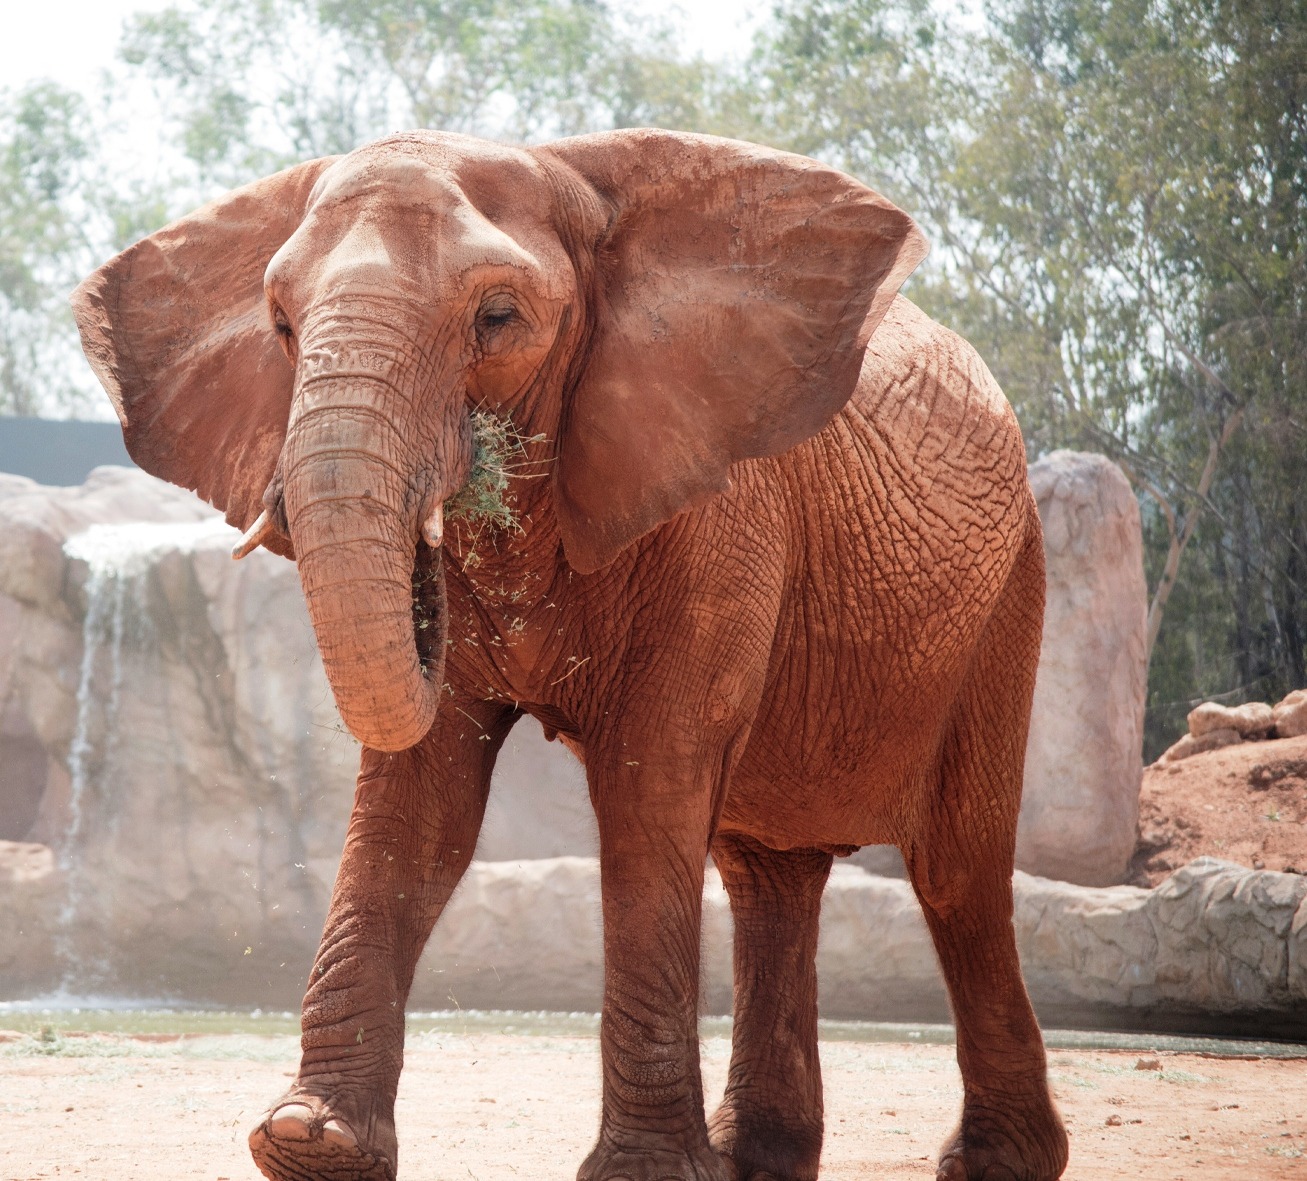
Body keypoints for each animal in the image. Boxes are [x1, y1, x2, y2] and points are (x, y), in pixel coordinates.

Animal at [71, 128, 1069, 1181]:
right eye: (281, 324)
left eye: (498, 318)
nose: (426, 575)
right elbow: (419, 806)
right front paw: (312, 1141)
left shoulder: (719, 508)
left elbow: (648, 786)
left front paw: (644, 1173)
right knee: (767, 874)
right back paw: (755, 1159)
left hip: (1013, 588)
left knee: (957, 871)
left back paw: (992, 1162)